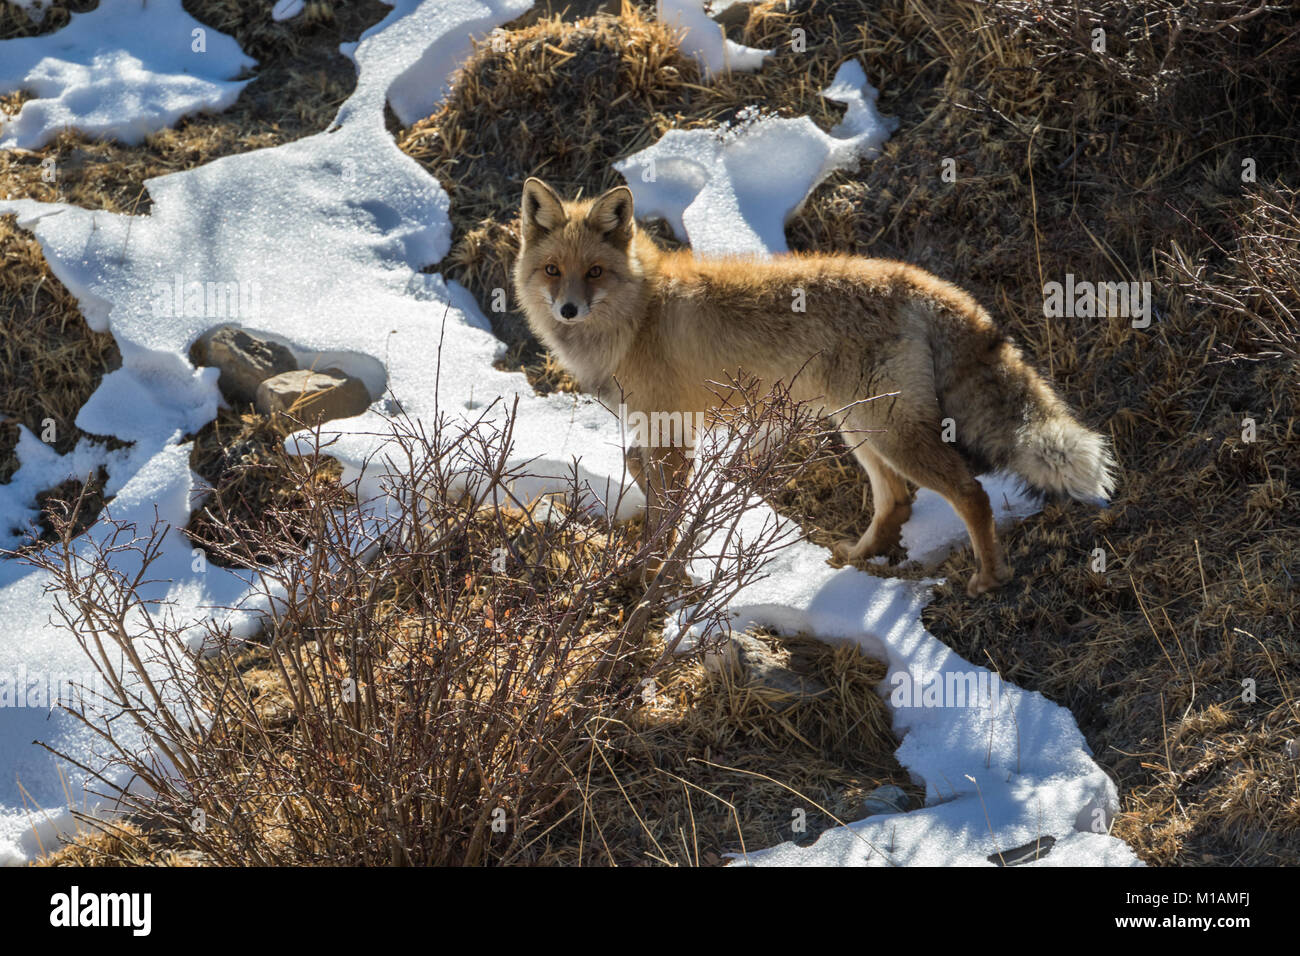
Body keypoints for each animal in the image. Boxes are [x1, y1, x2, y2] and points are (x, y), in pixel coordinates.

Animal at [512, 177, 1117, 596]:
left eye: (594, 272)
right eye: (552, 270)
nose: (568, 310)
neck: (639, 315)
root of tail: (929, 286)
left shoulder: (672, 432)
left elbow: (668, 512)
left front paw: (661, 575)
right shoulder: (656, 429)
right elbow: (646, 485)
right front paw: (653, 565)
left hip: (887, 431)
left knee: (970, 493)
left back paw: (989, 579)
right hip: (857, 427)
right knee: (897, 500)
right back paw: (854, 560)